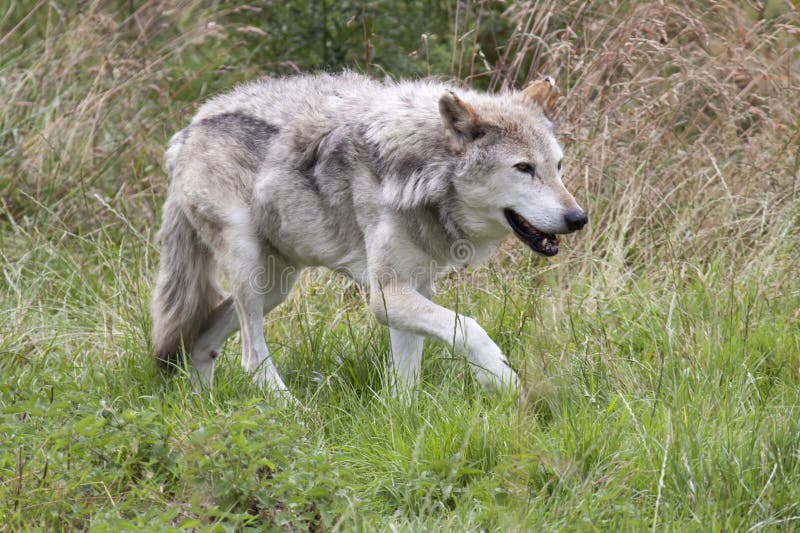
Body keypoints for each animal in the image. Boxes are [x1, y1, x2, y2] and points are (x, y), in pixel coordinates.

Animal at [150, 72, 587, 399]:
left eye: (558, 166)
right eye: (523, 168)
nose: (579, 218)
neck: (423, 172)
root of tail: (187, 132)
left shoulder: (414, 288)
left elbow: (406, 374)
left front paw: (403, 421)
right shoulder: (385, 296)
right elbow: (471, 328)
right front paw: (506, 383)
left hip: (275, 286)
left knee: (201, 338)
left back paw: (205, 407)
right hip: (250, 270)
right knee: (251, 357)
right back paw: (295, 414)